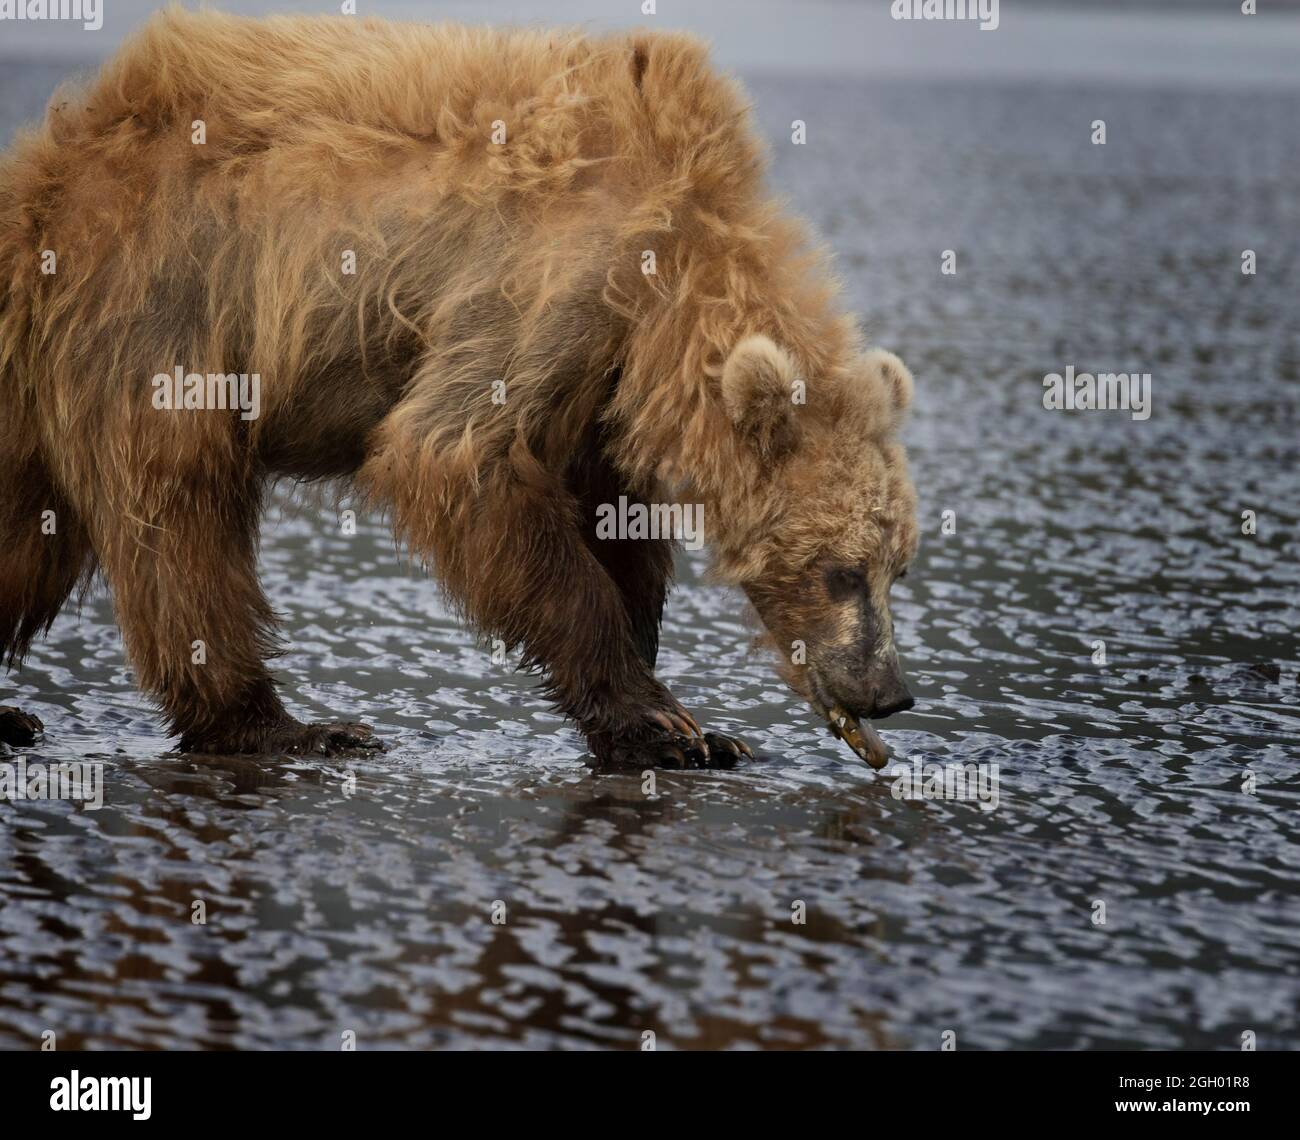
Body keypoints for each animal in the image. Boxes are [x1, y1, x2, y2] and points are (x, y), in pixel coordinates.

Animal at [0, 11, 918, 768]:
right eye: (841, 571)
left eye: (897, 567)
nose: (891, 692)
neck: (673, 283)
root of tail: (49, 171)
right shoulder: (553, 282)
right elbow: (455, 452)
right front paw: (662, 721)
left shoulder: (602, 381)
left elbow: (612, 521)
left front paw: (684, 715)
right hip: (164, 305)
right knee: (178, 518)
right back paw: (290, 726)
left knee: (34, 529)